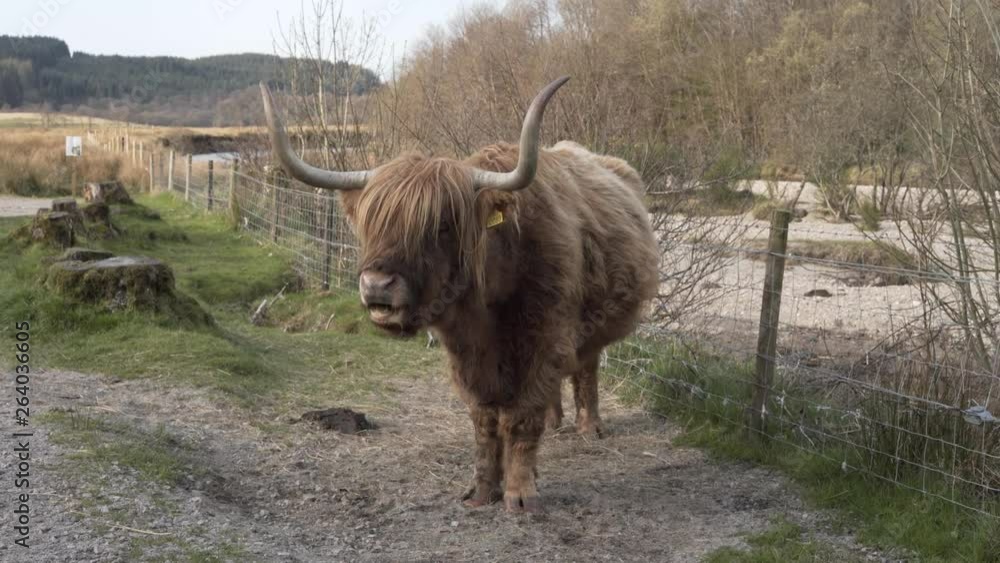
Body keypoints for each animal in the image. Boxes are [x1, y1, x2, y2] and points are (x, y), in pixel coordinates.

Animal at [260, 77, 659, 513]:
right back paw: (556, 424)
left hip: (591, 328)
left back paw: (590, 428)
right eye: (372, 223)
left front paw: (521, 494)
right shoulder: (467, 356)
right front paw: (482, 491)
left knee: (586, 368)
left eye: (442, 225)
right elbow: (486, 423)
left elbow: (521, 417)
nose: (377, 286)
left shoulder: (543, 340)